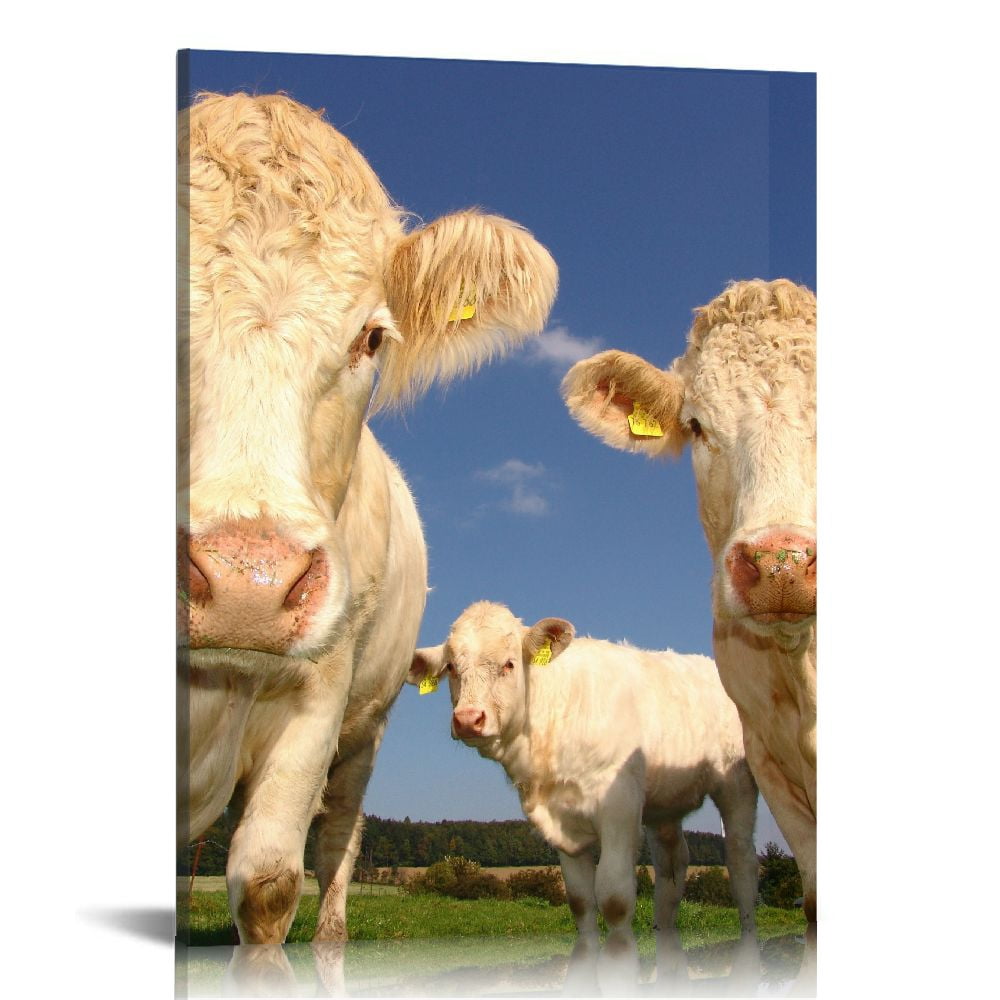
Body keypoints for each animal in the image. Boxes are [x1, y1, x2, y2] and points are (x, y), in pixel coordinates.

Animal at [177, 92, 558, 943]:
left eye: (373, 337)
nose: (247, 584)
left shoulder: (319, 696)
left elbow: (270, 886)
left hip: (362, 733)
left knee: (334, 855)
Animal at [408, 601, 759, 943]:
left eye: (509, 664)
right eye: (451, 668)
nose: (468, 719)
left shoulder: (620, 806)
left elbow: (614, 898)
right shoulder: (563, 823)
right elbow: (579, 900)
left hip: (737, 782)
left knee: (741, 859)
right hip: (664, 804)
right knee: (673, 862)